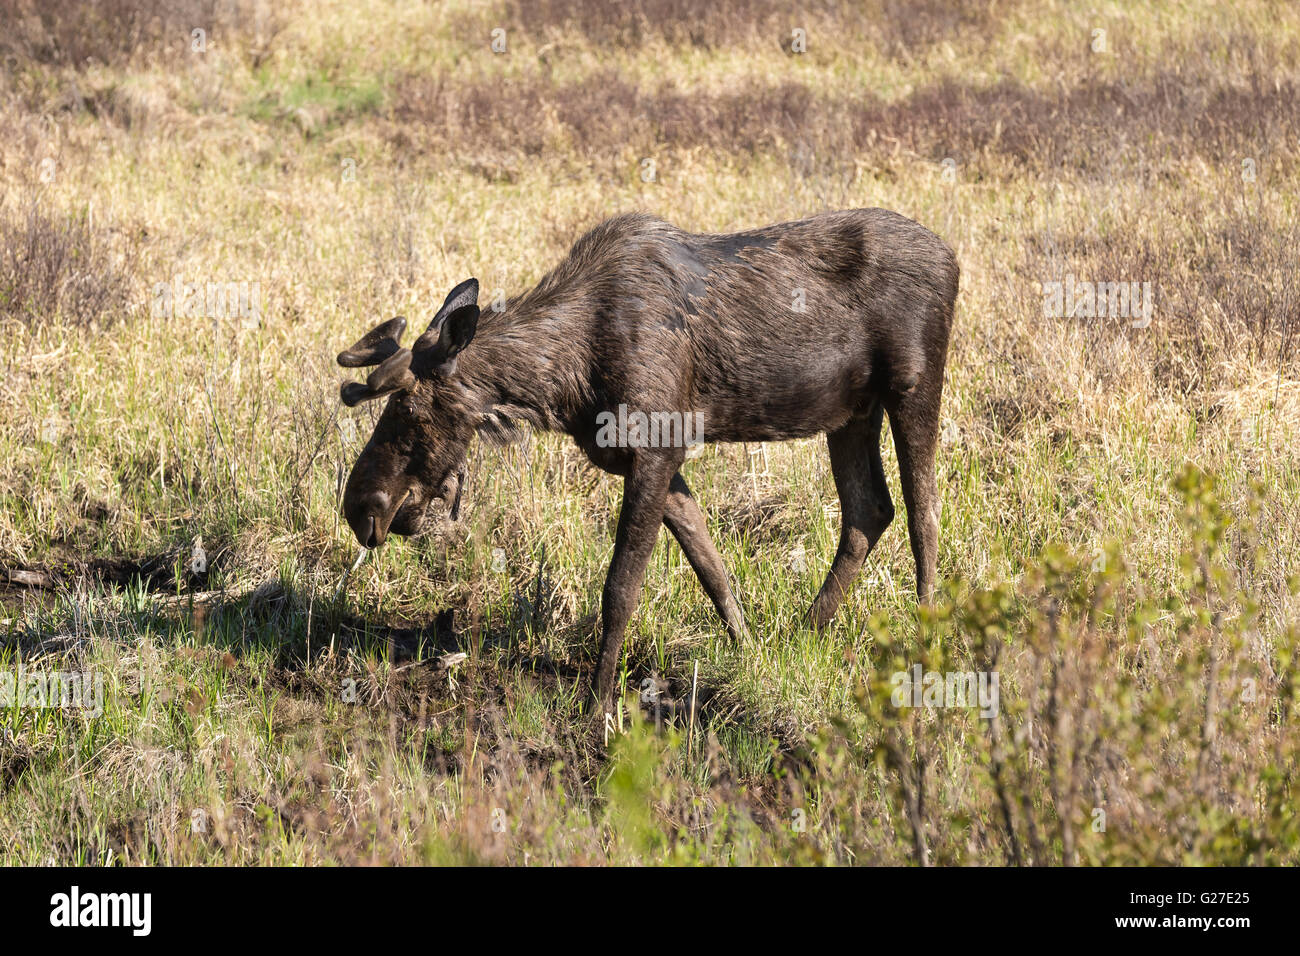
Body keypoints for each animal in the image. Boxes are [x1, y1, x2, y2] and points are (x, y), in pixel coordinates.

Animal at [336, 209, 958, 714]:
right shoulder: (652, 461)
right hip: (851, 412)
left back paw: (926, 639)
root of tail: (953, 257)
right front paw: (751, 649)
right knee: (869, 510)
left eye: (410, 413)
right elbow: (710, 566)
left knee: (924, 512)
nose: (359, 506)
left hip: (914, 385)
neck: (566, 380)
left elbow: (620, 588)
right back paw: (805, 631)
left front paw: (599, 702)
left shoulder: (656, 449)